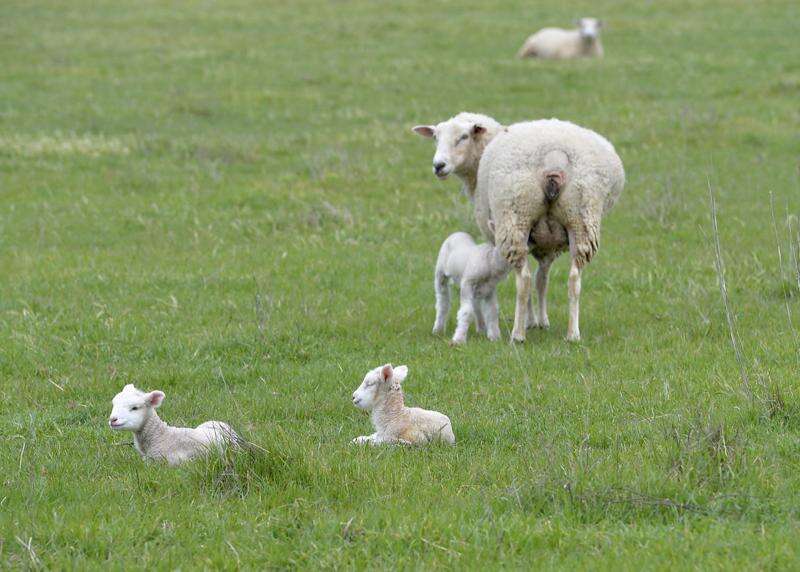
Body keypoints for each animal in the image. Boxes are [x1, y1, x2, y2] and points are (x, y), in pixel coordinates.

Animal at [413, 112, 624, 343]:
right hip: (581, 218)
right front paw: (542, 321)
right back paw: (573, 334)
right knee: (574, 279)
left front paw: (529, 322)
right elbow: (542, 280)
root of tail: (554, 157)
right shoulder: (548, 245)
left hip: (514, 214)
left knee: (523, 280)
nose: (438, 165)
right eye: (435, 137)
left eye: (464, 137)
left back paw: (518, 334)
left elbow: (530, 281)